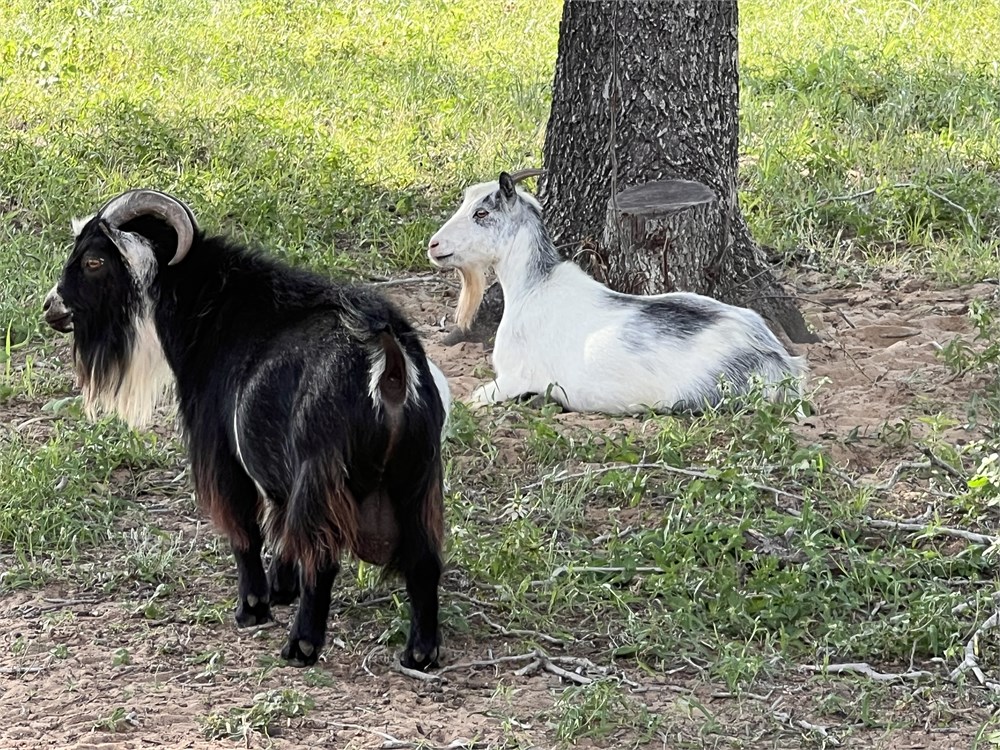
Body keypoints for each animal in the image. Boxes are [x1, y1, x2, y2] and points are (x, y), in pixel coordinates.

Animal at [43, 190, 448, 670]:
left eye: (93, 261)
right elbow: (280, 525)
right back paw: (420, 653)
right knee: (424, 560)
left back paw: (302, 646)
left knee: (323, 558)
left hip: (323, 472)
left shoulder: (220, 452)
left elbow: (245, 533)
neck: (216, 311)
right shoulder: (276, 467)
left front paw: (252, 607)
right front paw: (280, 589)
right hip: (417, 478)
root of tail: (388, 368)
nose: (51, 307)